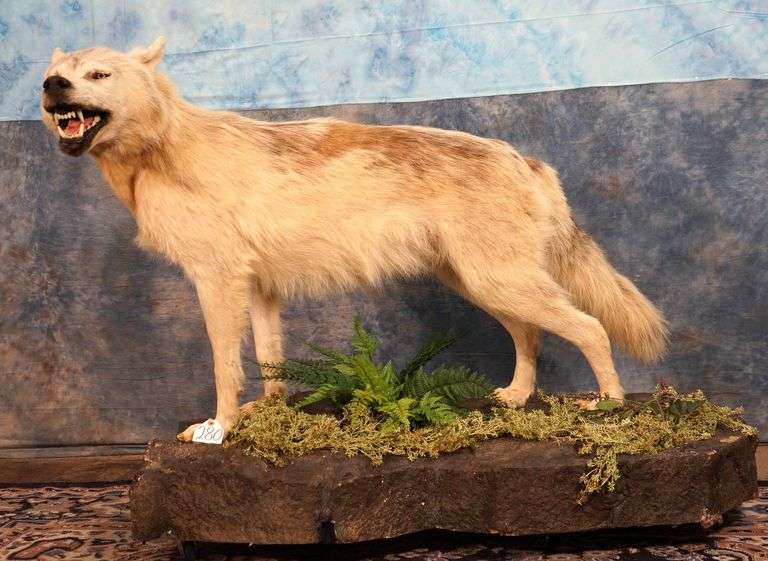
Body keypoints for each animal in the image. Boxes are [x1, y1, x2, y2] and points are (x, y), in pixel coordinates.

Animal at [40, 37, 667, 441]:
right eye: (61, 73)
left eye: (98, 75)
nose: (51, 85)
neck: (160, 149)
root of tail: (527, 160)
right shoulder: (259, 289)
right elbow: (268, 362)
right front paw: (268, 414)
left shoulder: (217, 282)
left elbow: (224, 368)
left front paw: (221, 426)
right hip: (485, 286)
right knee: (532, 336)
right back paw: (515, 398)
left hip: (500, 283)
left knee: (589, 329)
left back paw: (610, 407)